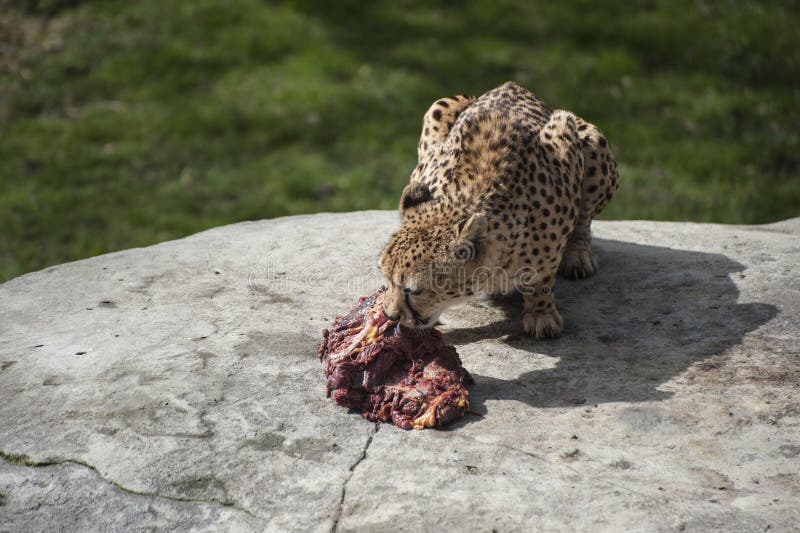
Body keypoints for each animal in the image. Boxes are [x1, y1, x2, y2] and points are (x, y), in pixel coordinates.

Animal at [379, 81, 619, 339]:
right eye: (387, 279)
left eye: (414, 290)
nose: (390, 314)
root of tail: (512, 84)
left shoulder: (564, 139)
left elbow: (545, 270)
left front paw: (541, 313)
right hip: (439, 108)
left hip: (594, 143)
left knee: (584, 218)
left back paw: (579, 254)